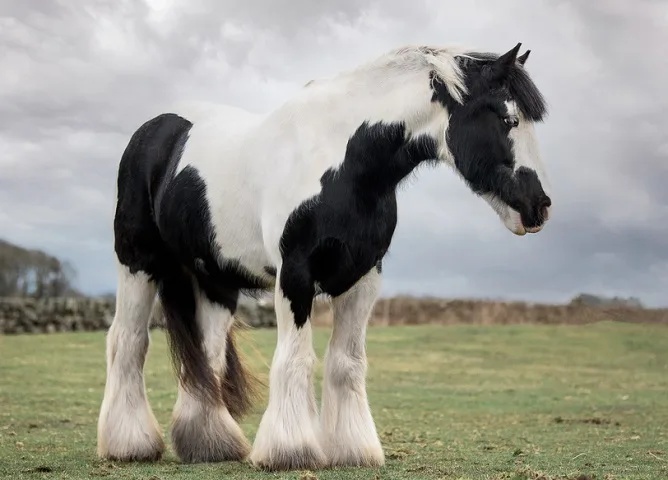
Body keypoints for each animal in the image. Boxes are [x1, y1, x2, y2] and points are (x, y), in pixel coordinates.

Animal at [97, 41, 551, 472]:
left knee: (207, 355)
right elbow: (295, 359)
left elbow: (347, 363)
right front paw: (290, 451)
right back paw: (129, 445)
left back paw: (209, 444)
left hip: (215, 280)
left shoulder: (364, 277)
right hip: (137, 262)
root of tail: (156, 129)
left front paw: (353, 449)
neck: (344, 164)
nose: (539, 207)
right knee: (128, 341)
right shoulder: (295, 275)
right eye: (508, 120)